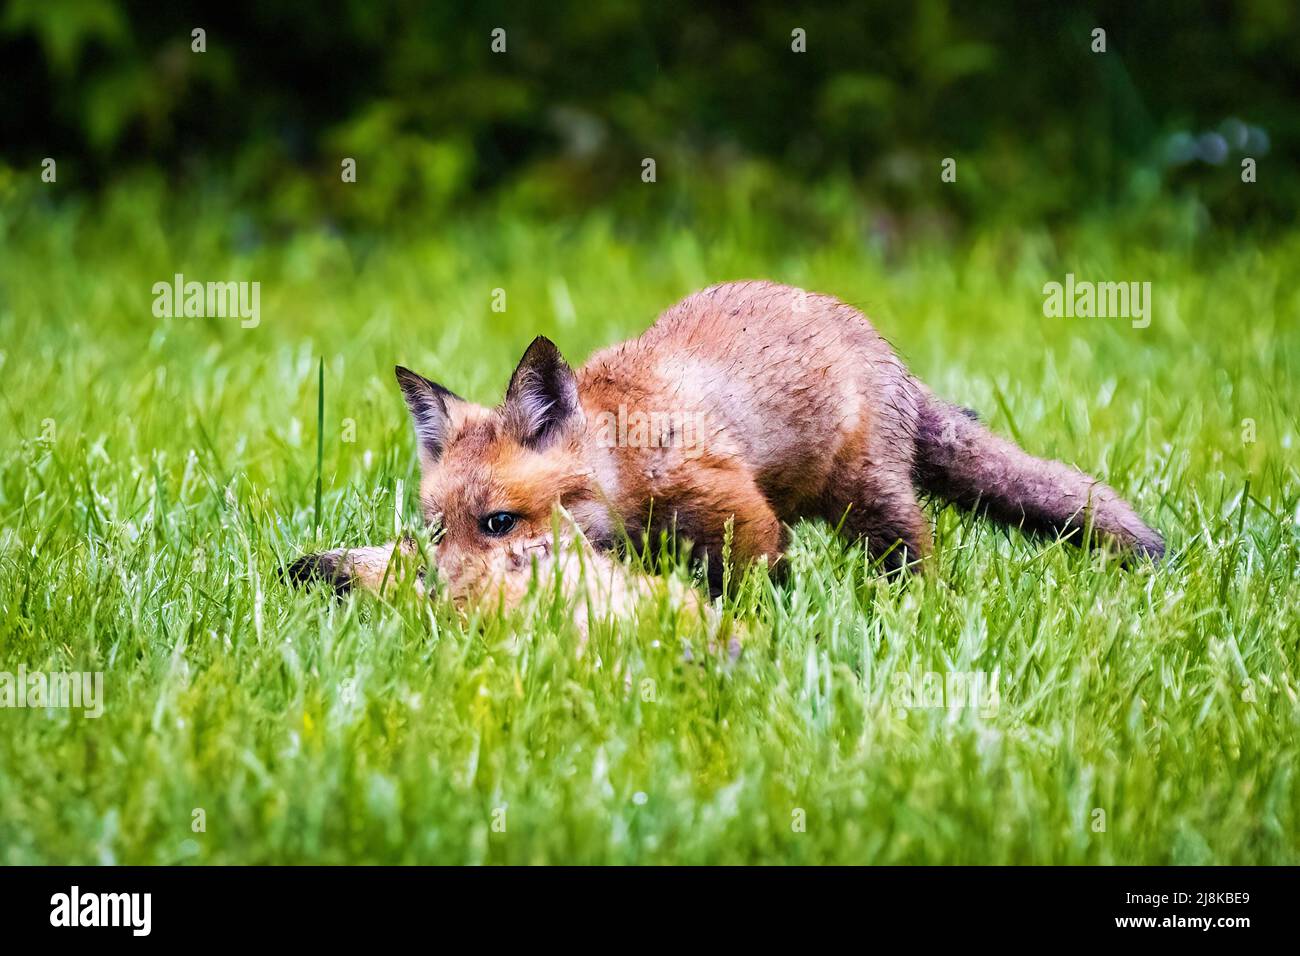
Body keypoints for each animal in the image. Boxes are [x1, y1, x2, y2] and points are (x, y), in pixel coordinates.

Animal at [287, 280, 1164, 606]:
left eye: (500, 523)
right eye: (439, 529)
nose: (442, 597)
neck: (624, 472)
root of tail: (883, 350)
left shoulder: (735, 507)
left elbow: (751, 582)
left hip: (868, 502)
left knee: (911, 552)